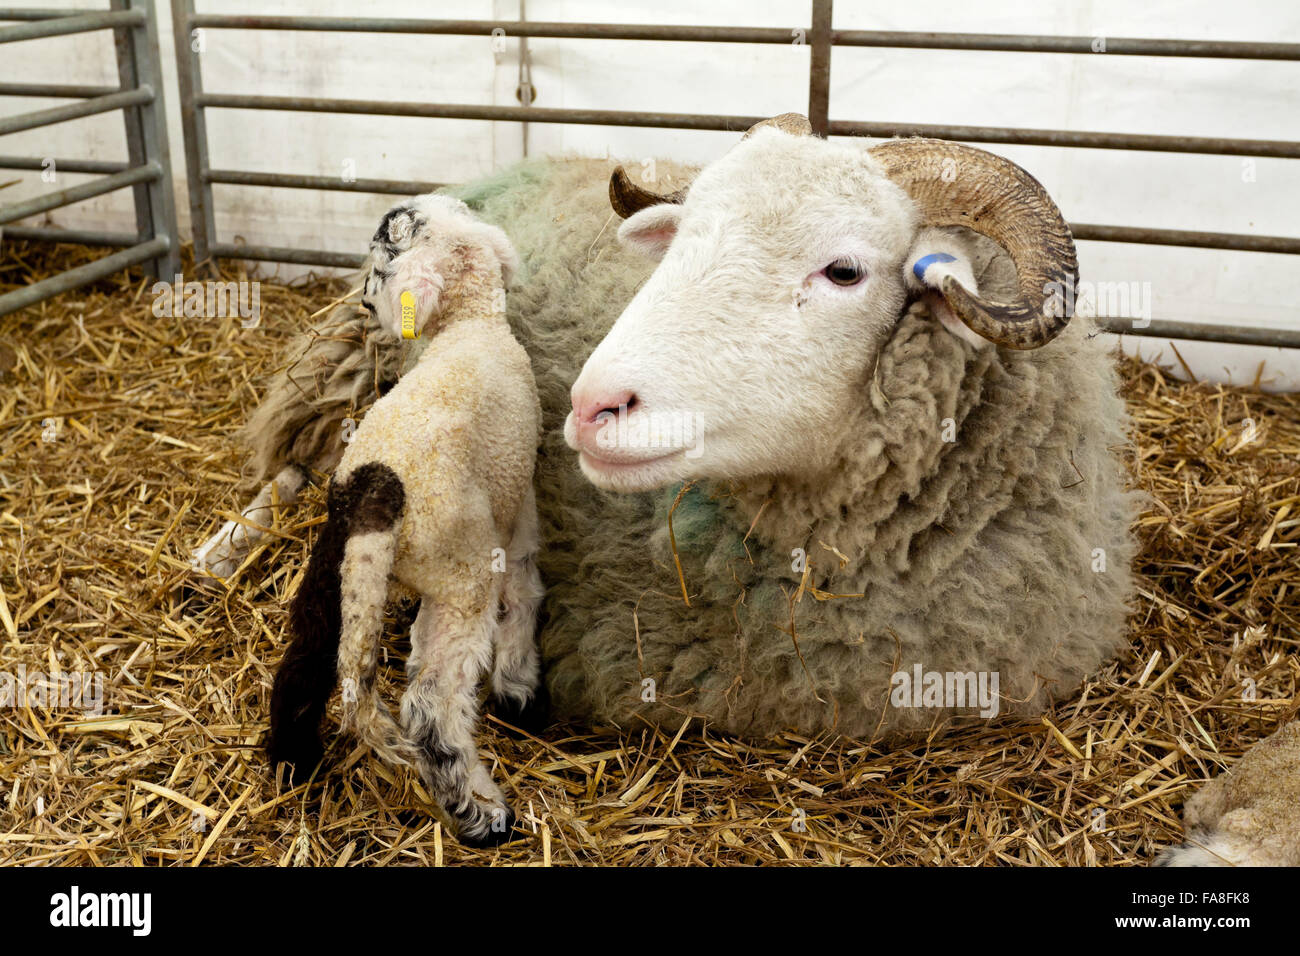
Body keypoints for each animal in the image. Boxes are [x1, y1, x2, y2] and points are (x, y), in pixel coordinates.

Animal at [205, 115, 1137, 743]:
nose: (592, 407)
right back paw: (218, 551)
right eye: (682, 238)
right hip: (353, 353)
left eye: (844, 271)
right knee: (293, 461)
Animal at [265, 194, 542, 845]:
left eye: (378, 265)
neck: (471, 327)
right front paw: (518, 682)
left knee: (305, 662)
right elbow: (525, 589)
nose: (366, 304)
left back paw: (295, 763)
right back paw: (483, 813)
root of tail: (375, 487)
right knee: (429, 707)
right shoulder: (516, 512)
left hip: (334, 568)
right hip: (462, 574)